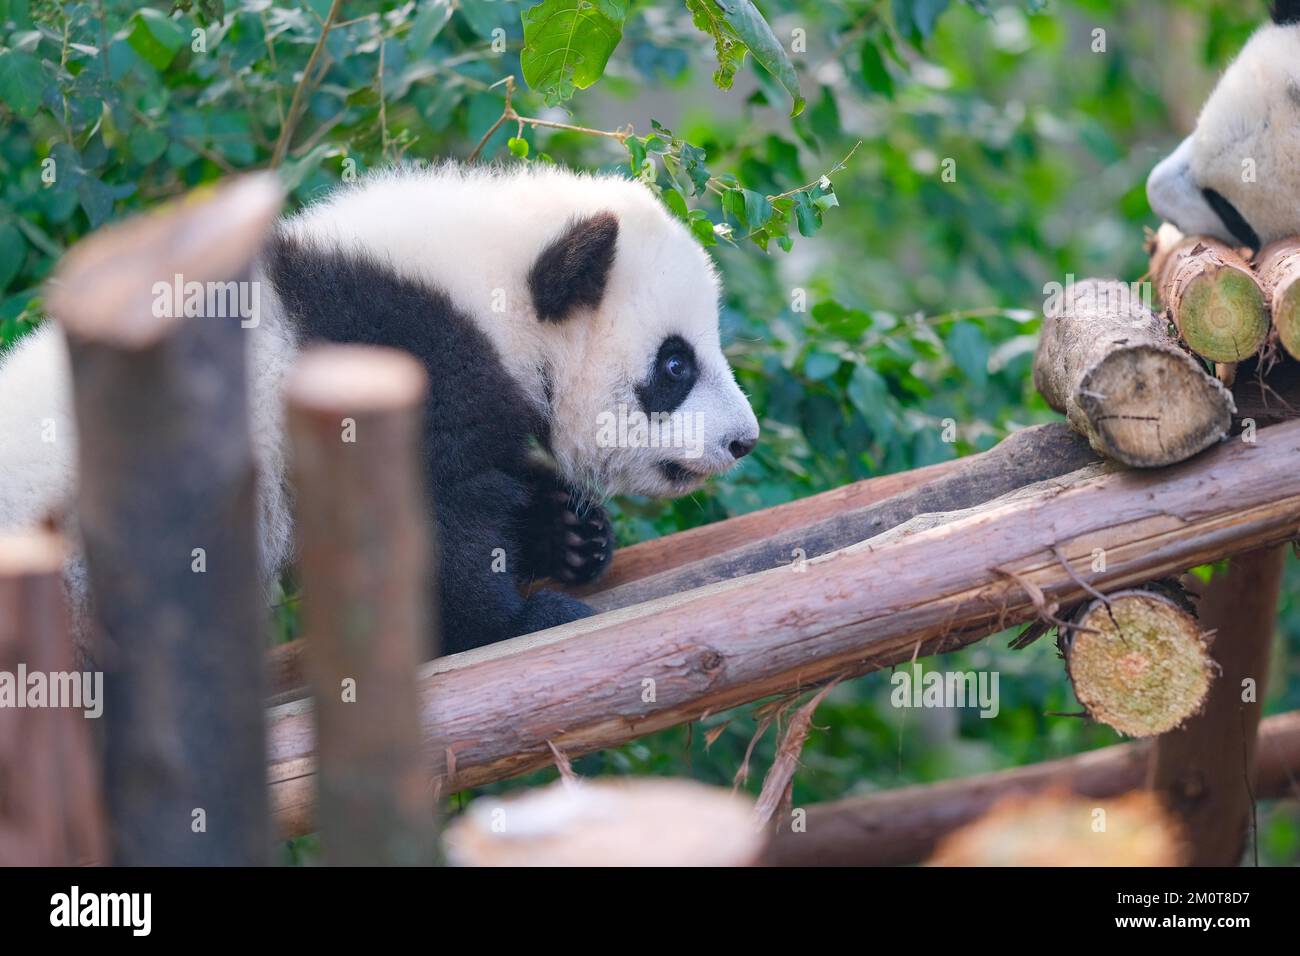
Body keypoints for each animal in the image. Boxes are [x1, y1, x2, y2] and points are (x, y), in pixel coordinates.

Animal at [0, 162, 760, 657]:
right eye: (676, 364)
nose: (742, 441)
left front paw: (572, 534)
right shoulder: (395, 354)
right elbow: (425, 513)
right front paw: (511, 621)